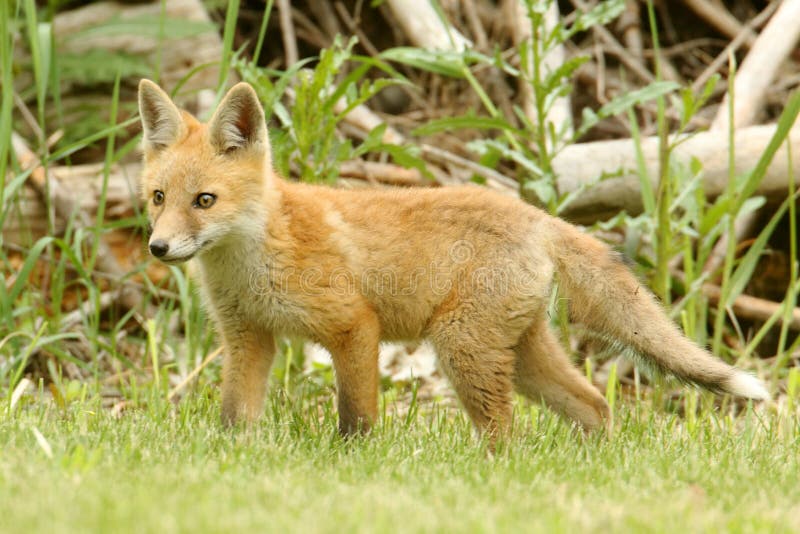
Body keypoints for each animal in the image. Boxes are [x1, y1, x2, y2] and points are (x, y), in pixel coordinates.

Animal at [137, 79, 768, 441]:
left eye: (205, 201)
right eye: (159, 198)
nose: (158, 249)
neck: (254, 256)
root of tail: (536, 215)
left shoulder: (353, 326)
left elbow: (356, 420)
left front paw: (354, 467)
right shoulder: (249, 338)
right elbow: (234, 421)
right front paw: (229, 460)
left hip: (462, 346)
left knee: (505, 437)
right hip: (517, 354)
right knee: (595, 406)